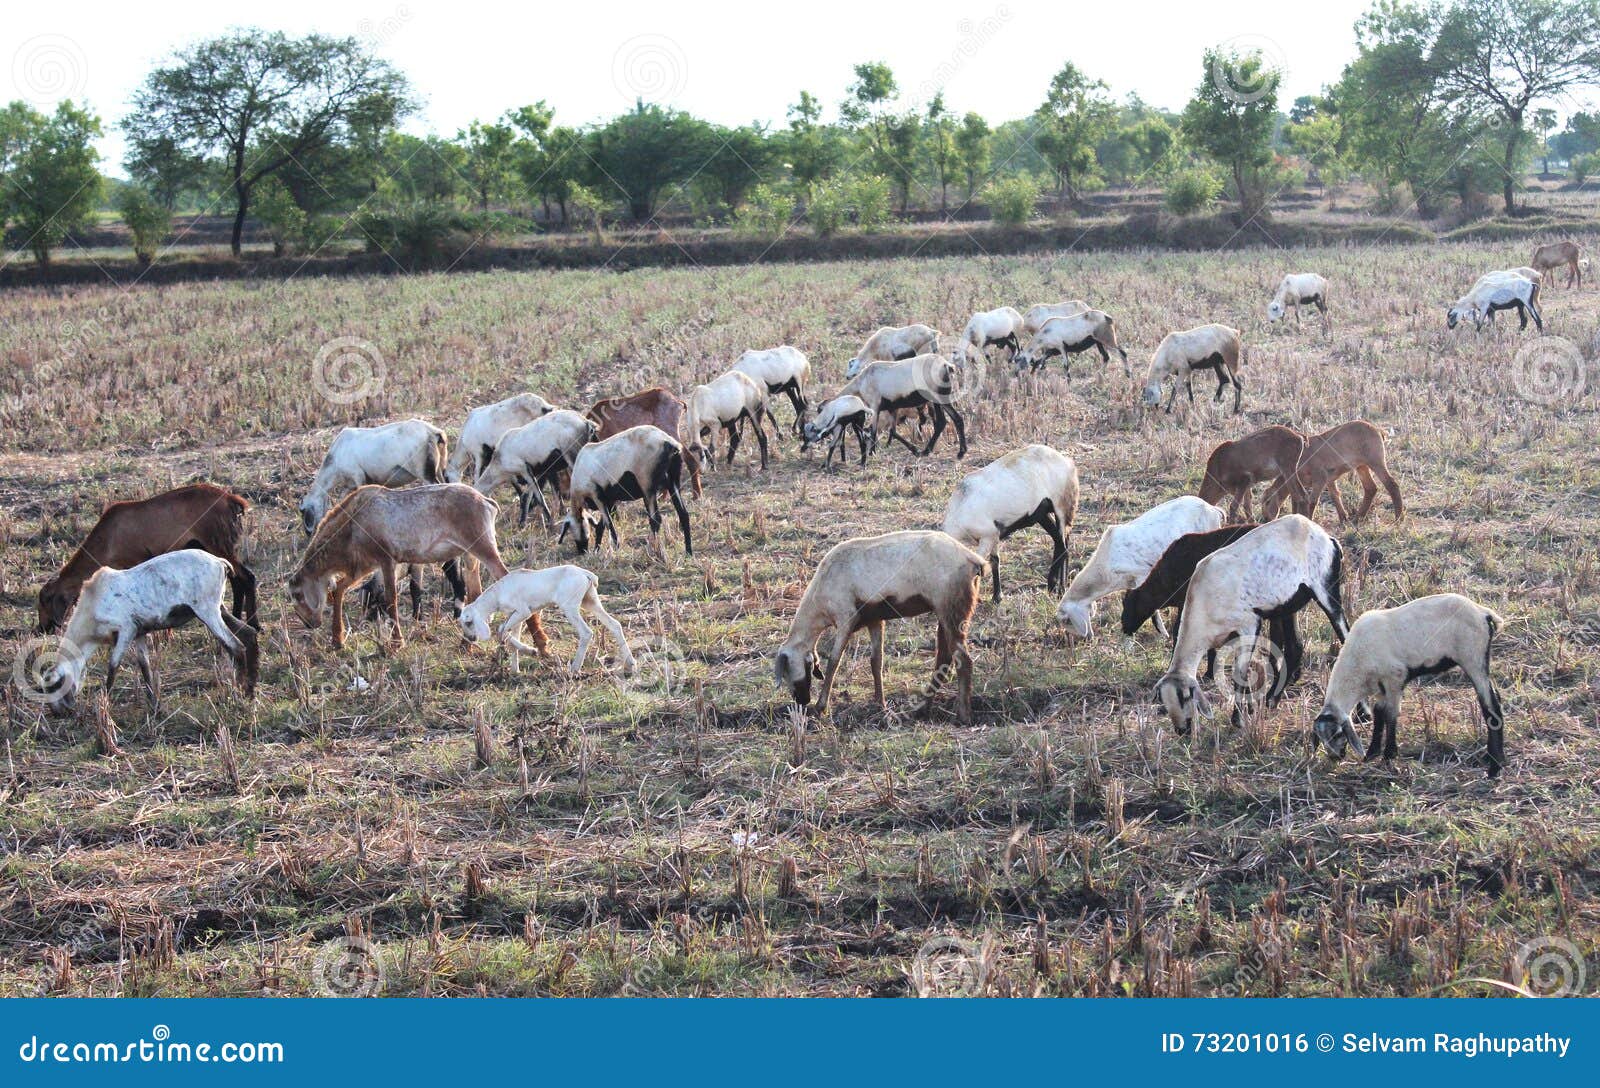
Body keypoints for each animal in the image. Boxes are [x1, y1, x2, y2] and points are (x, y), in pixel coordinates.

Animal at [38, 482, 256, 634]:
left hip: (219, 545)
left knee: (247, 576)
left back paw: (255, 624)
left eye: (46, 600)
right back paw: (238, 619)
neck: (109, 536)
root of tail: (232, 500)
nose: (42, 628)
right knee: (236, 579)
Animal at [774, 530, 983, 724]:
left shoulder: (846, 618)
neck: (818, 604)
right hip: (945, 613)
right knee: (944, 659)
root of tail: (973, 560)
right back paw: (923, 710)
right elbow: (876, 662)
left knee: (963, 659)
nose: (802, 701)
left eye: (787, 670)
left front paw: (820, 707)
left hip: (952, 609)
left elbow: (834, 662)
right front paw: (880, 703)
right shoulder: (874, 620)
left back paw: (963, 716)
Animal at [941, 444, 1078, 602]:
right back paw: (1056, 586)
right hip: (1043, 513)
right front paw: (997, 597)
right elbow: (995, 561)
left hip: (1063, 506)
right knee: (1060, 542)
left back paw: (1059, 588)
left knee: (1063, 547)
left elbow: (981, 567)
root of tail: (1067, 461)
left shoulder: (988, 535)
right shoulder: (994, 535)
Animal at [1313, 593, 1504, 776]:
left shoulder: (1395, 678)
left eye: (1338, 734)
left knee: (1490, 704)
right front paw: (1372, 753)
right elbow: (1379, 712)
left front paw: (1388, 756)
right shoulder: (1380, 686)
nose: (1335, 757)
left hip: (1473, 657)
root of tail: (1483, 612)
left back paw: (1495, 767)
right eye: (1321, 738)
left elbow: (1390, 715)